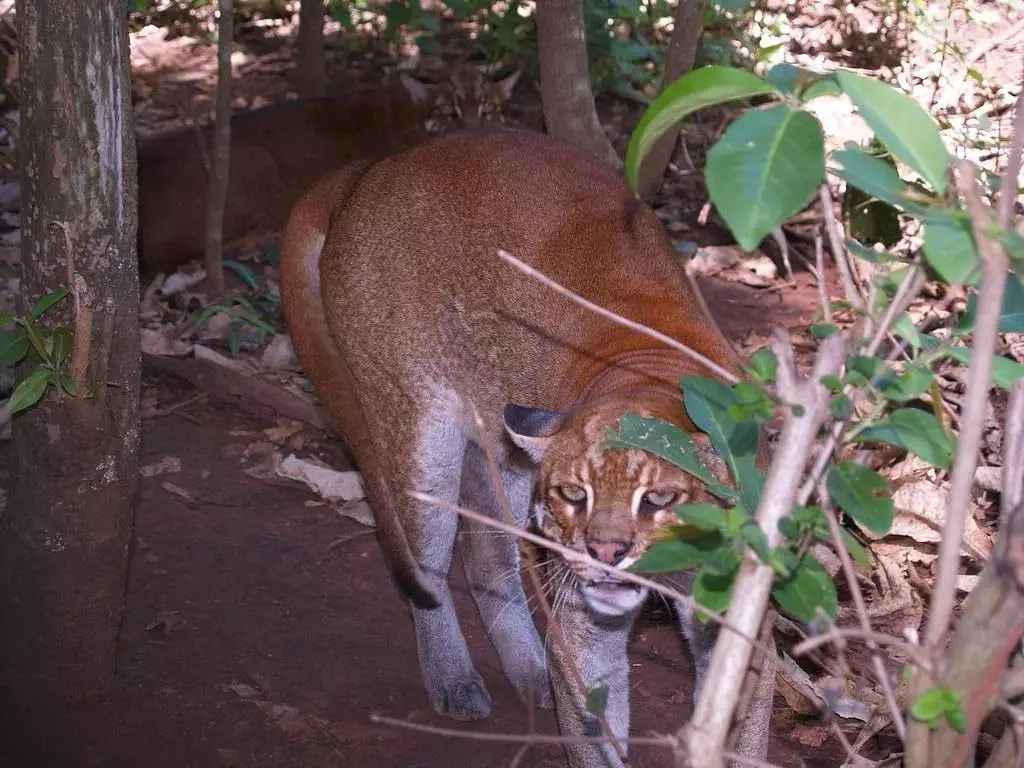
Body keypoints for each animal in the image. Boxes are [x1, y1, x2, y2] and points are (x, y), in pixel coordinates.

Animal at [276, 129, 770, 765]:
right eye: (572, 495)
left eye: (658, 500)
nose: (604, 551)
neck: (654, 374)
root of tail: (380, 164)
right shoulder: (585, 628)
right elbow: (591, 733)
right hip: (417, 423)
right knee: (429, 564)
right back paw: (455, 678)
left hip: (500, 446)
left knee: (486, 554)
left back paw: (528, 670)